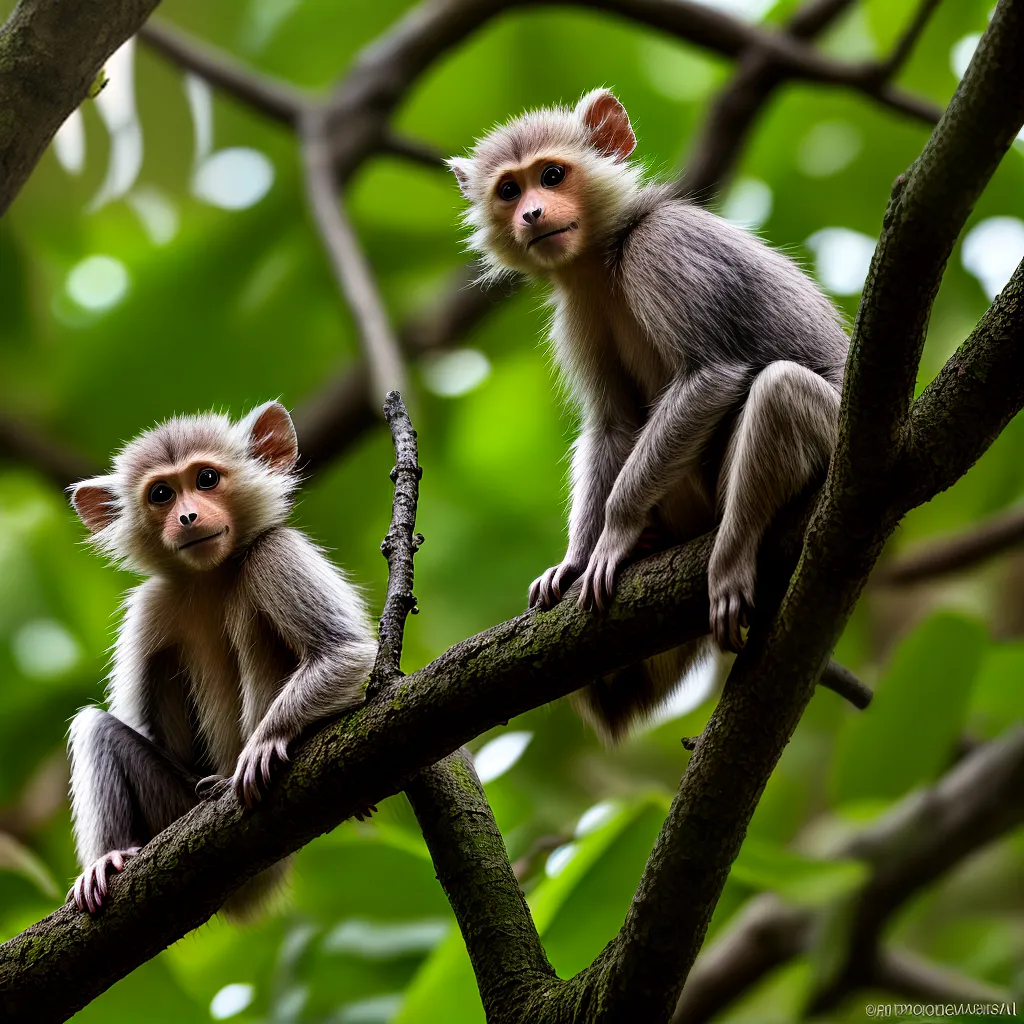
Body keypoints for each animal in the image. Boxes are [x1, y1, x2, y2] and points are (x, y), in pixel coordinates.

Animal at [66, 401, 377, 916]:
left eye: (207, 478)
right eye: (161, 494)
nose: (188, 516)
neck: (209, 578)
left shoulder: (278, 549)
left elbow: (347, 652)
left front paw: (267, 741)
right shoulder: (148, 608)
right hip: (175, 809)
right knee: (95, 728)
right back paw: (108, 858)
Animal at [449, 89, 847, 741]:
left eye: (551, 175)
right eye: (508, 189)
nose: (531, 213)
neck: (605, 258)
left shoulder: (665, 246)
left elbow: (710, 374)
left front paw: (615, 533)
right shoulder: (577, 306)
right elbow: (611, 423)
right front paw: (576, 558)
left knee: (781, 390)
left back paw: (731, 553)